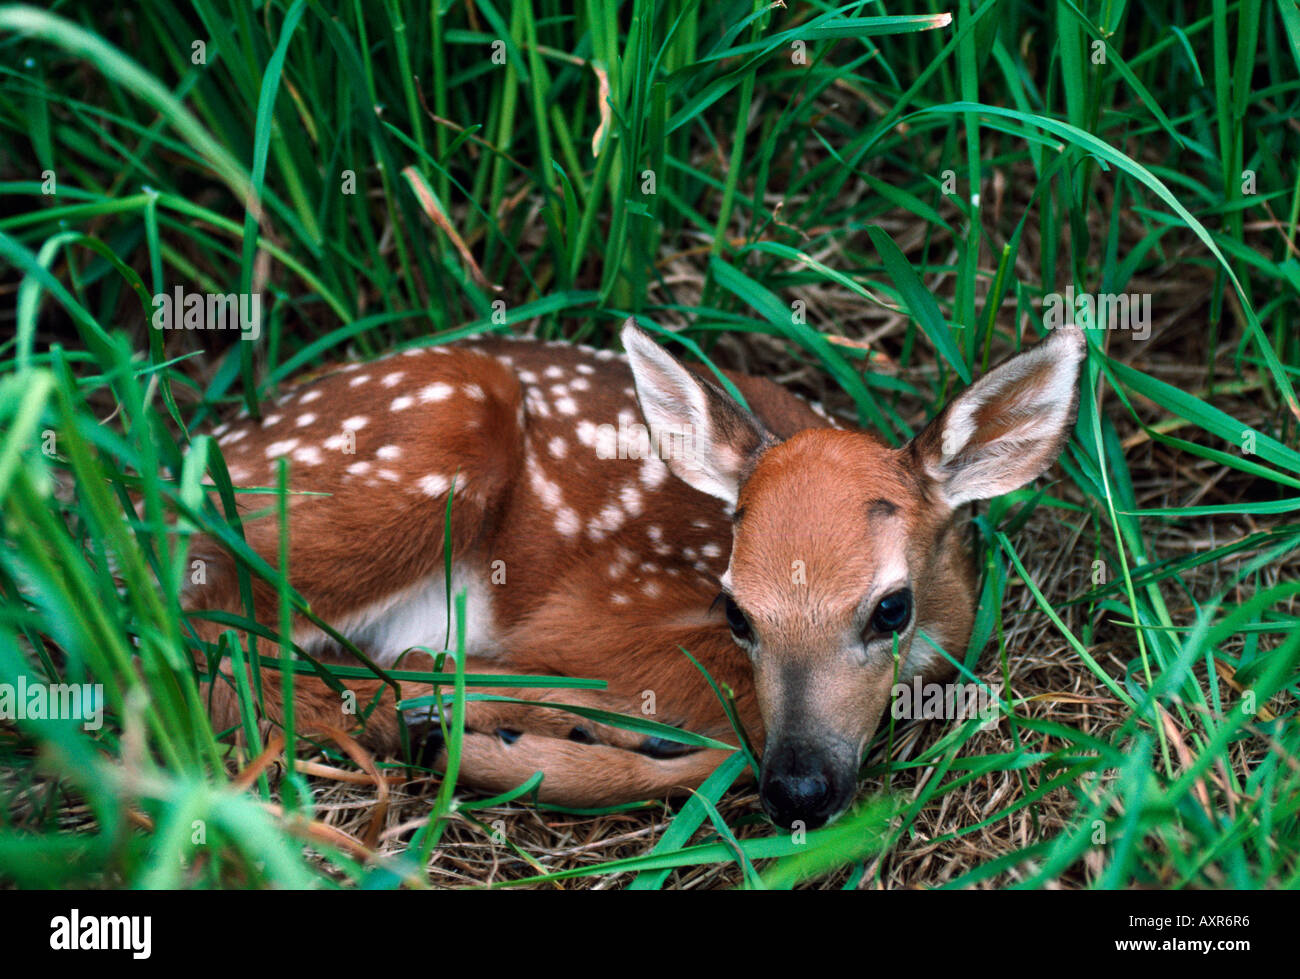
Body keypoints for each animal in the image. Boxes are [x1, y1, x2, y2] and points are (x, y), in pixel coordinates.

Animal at [189, 318, 1086, 829]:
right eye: (736, 610)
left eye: (891, 608)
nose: (798, 789)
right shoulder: (596, 610)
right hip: (434, 435)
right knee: (215, 649)